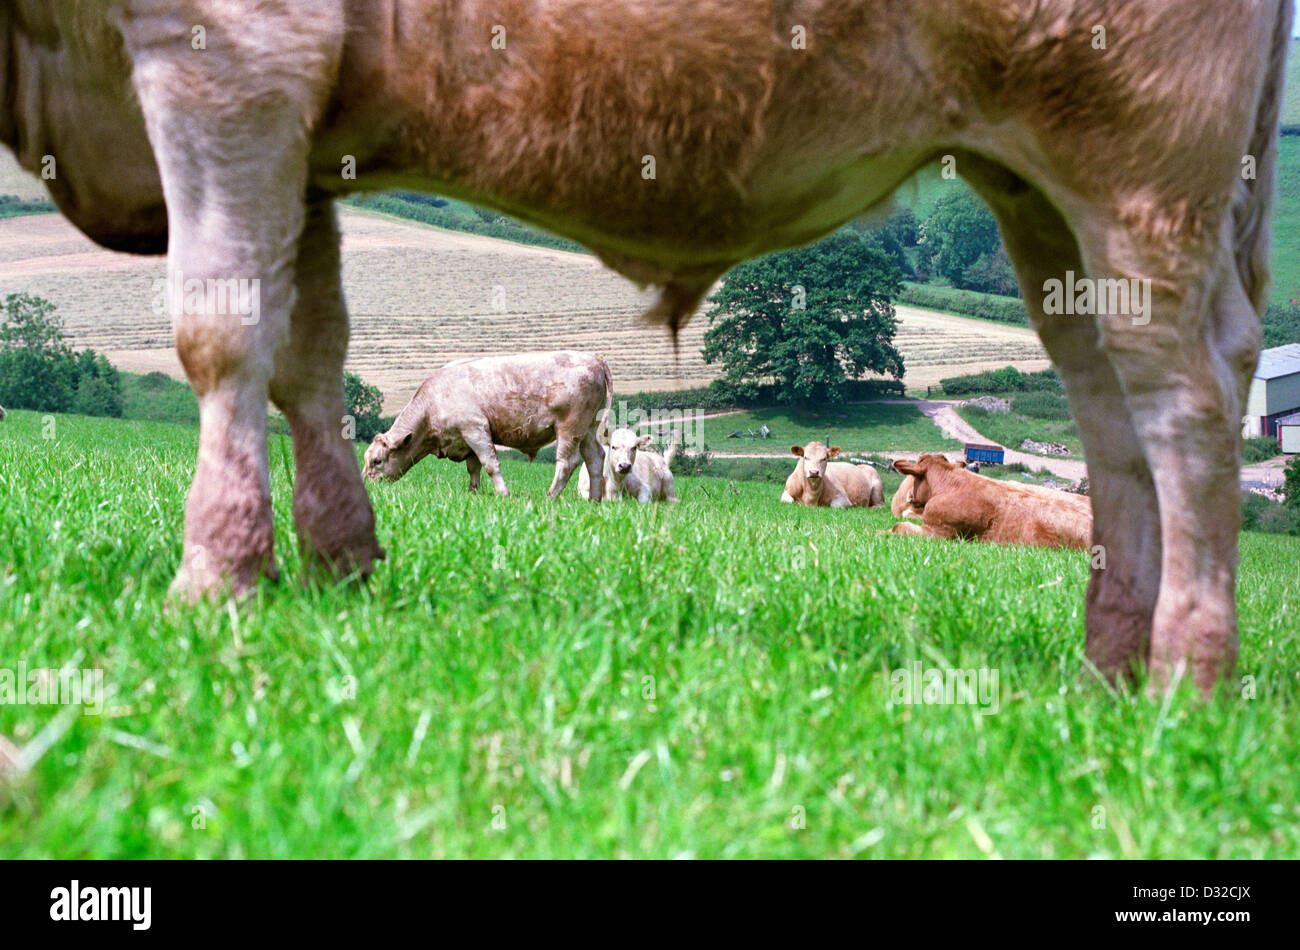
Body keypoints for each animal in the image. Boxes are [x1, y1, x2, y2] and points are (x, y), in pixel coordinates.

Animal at [362, 351, 611, 499]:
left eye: (377, 461)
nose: (367, 484)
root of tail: (594, 358)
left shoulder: (475, 430)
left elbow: (490, 463)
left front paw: (502, 493)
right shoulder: (465, 439)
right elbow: (474, 467)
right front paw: (473, 492)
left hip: (570, 428)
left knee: (568, 462)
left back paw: (551, 496)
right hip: (588, 430)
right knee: (595, 459)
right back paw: (594, 499)